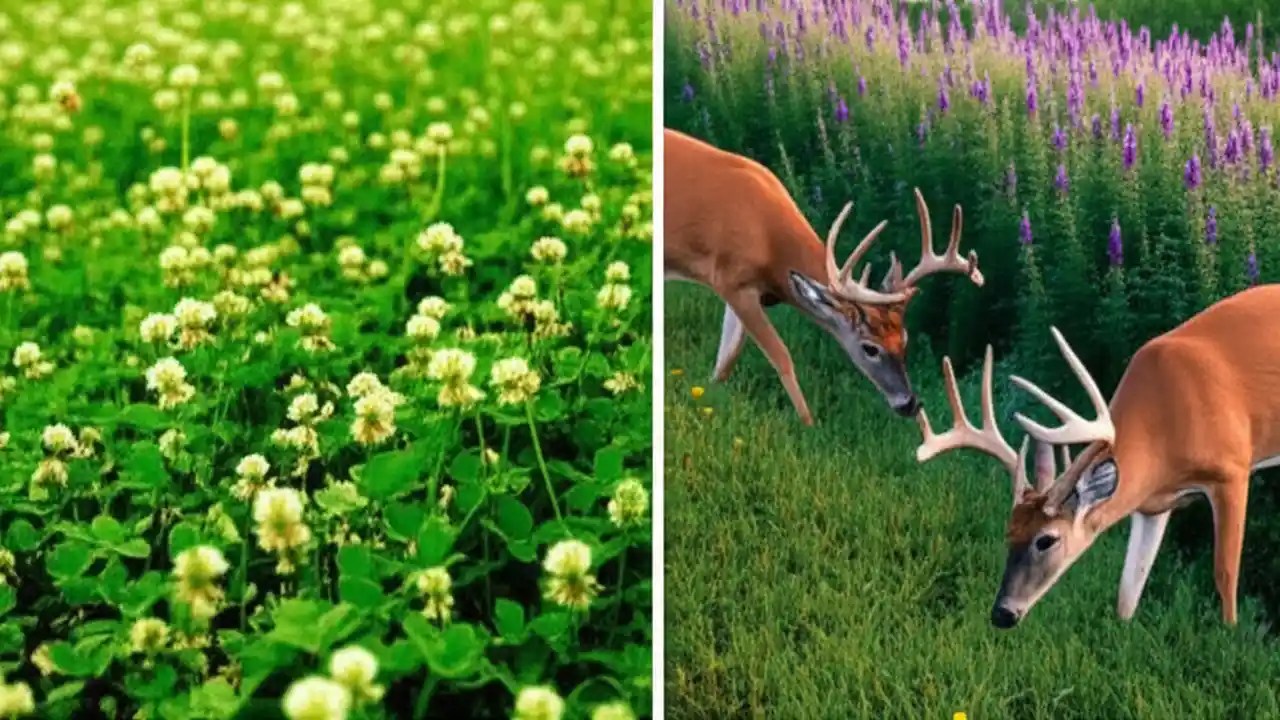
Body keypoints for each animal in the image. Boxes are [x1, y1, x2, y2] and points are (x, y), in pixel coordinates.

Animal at [663, 128, 984, 425]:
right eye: (870, 348)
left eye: (904, 339)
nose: (910, 404)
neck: (771, 244)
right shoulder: (731, 279)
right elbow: (780, 355)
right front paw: (809, 425)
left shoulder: (746, 289)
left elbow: (725, 361)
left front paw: (704, 397)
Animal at [915, 285, 1280, 629]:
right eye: (1009, 531)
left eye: (1046, 540)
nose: (1002, 614)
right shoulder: (1152, 507)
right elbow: (1126, 597)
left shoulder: (1232, 469)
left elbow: (1225, 576)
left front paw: (1230, 632)